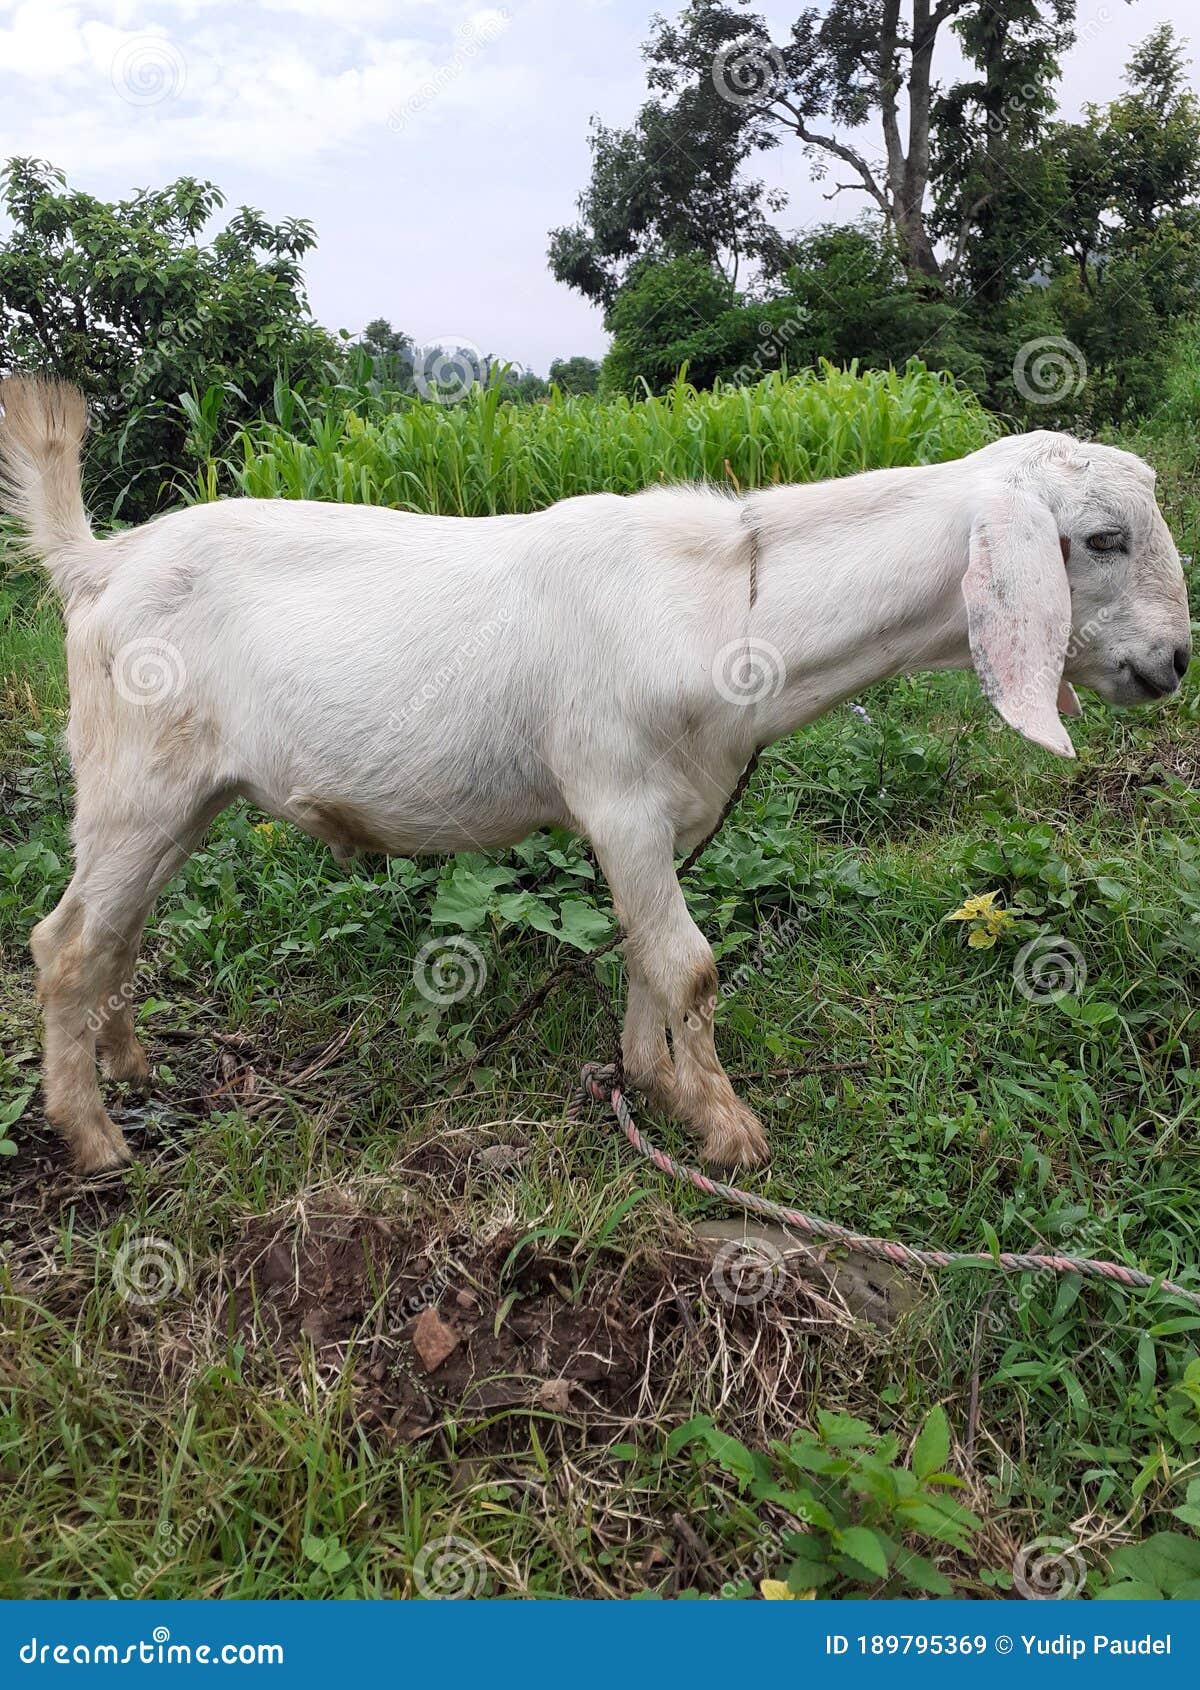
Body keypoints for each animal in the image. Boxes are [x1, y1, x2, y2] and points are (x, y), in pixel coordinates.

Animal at [0, 375, 1190, 1176]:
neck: (734, 608)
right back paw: (94, 1136)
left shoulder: (667, 816)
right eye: (1102, 537)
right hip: (133, 782)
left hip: (181, 798)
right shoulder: (617, 796)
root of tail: (101, 562)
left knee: (123, 931)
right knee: (65, 943)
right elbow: (691, 966)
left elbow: (646, 956)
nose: (1175, 661)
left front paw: (651, 1083)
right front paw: (727, 1130)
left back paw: (129, 1066)